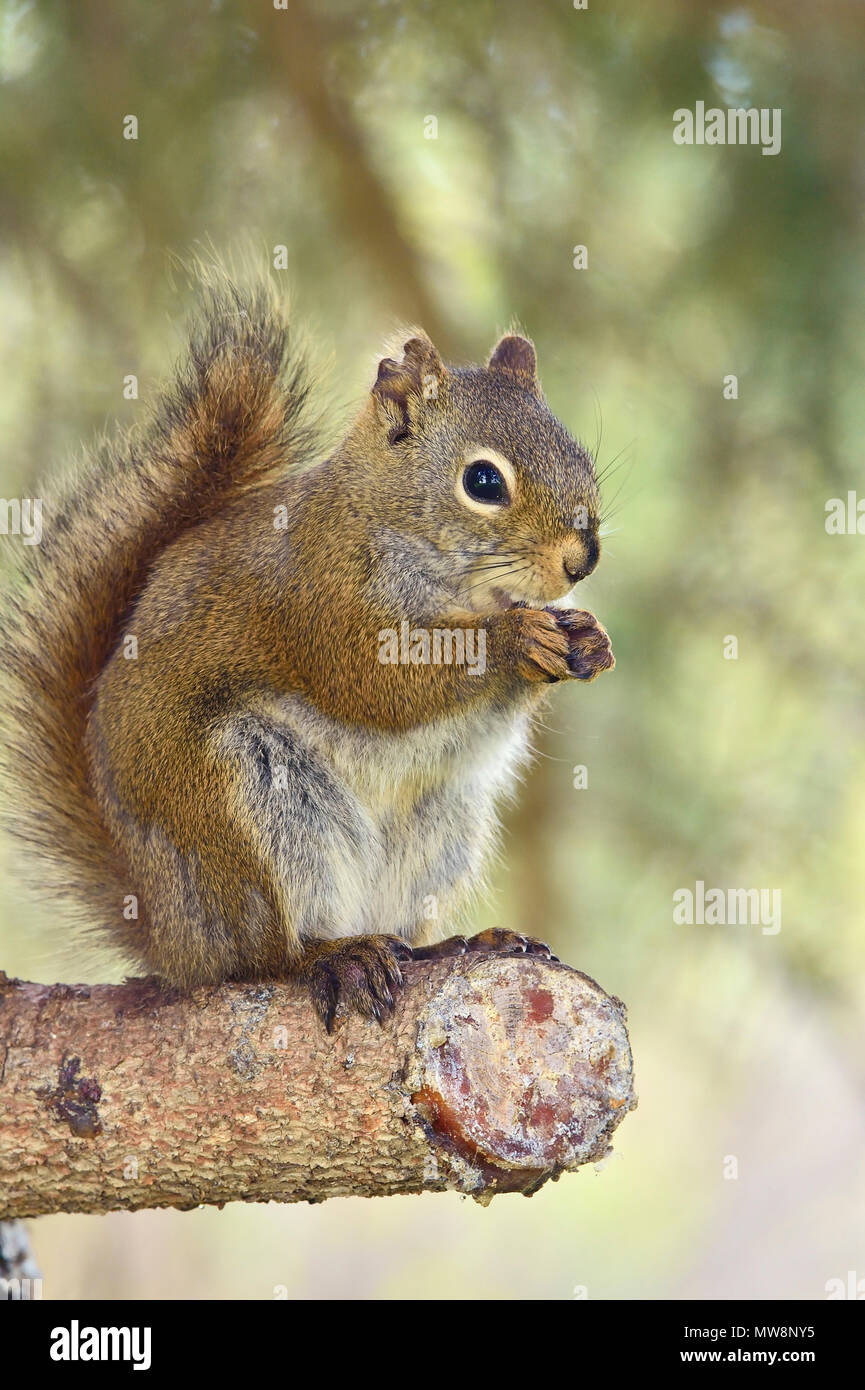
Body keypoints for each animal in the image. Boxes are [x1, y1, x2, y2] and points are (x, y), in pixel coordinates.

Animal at [0, 278, 614, 1029]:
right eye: (484, 482)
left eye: (579, 456)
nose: (582, 559)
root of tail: (172, 940)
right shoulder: (318, 602)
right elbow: (372, 683)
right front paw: (512, 641)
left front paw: (586, 639)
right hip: (243, 807)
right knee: (263, 956)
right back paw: (330, 954)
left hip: (441, 823)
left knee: (399, 929)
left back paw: (451, 945)